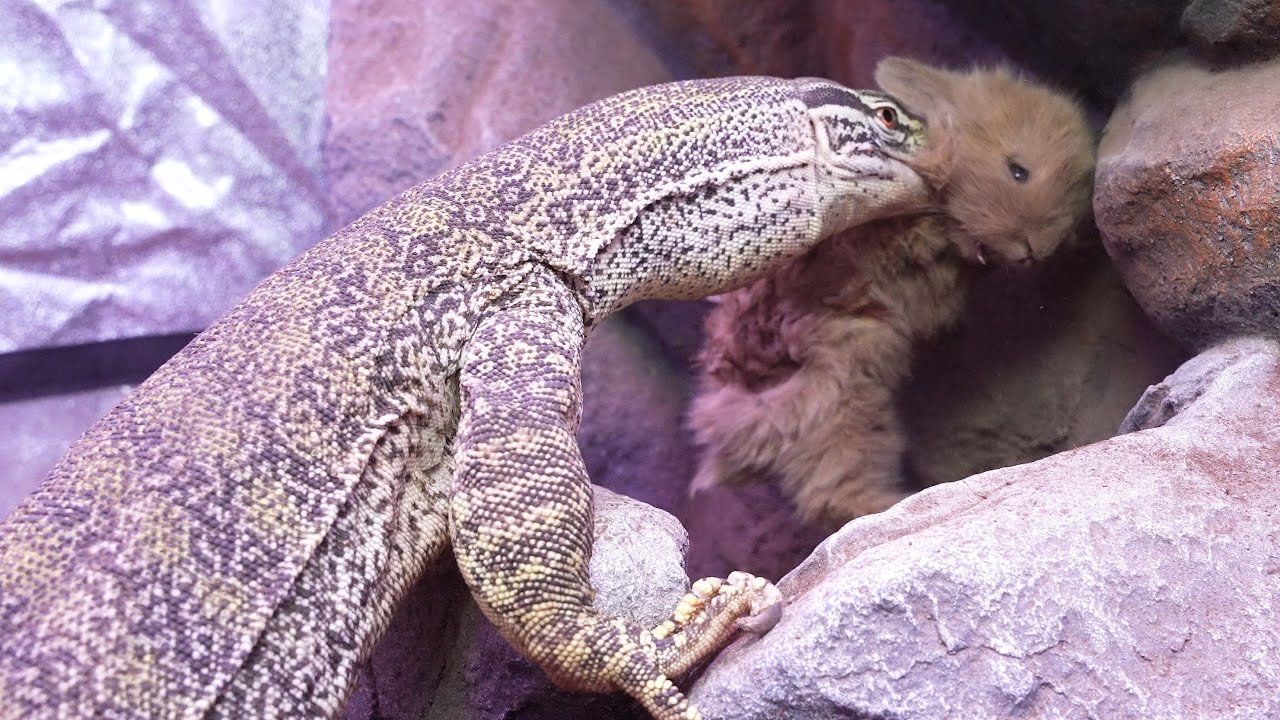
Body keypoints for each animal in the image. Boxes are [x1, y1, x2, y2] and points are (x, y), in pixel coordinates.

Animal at [685, 57, 1097, 528]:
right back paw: (904, 500)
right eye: (1017, 170)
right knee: (830, 495)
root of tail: (720, 430)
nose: (1039, 250)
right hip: (842, 407)